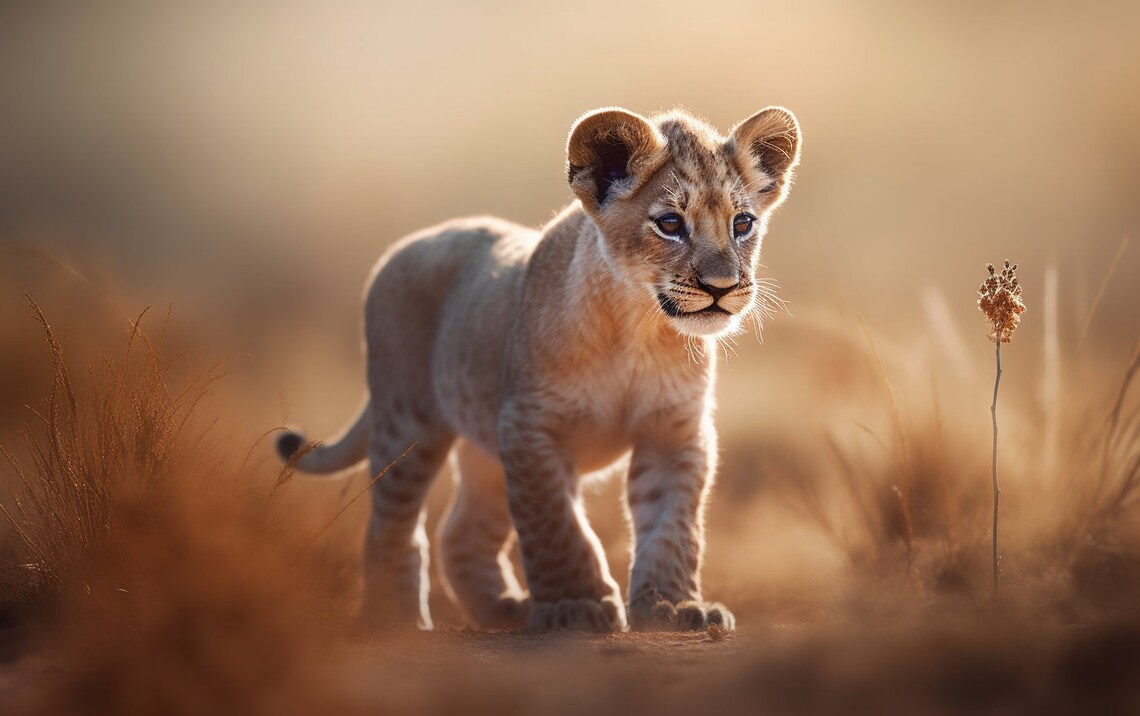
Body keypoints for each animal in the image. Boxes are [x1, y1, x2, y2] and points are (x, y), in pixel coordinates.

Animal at [277, 106, 801, 632]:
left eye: (742, 223)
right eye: (670, 223)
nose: (721, 286)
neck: (639, 330)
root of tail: (399, 248)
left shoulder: (675, 430)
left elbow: (670, 524)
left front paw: (671, 607)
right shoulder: (530, 426)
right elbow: (556, 523)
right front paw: (578, 603)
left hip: (484, 450)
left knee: (460, 532)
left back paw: (506, 610)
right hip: (406, 422)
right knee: (393, 523)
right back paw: (396, 620)